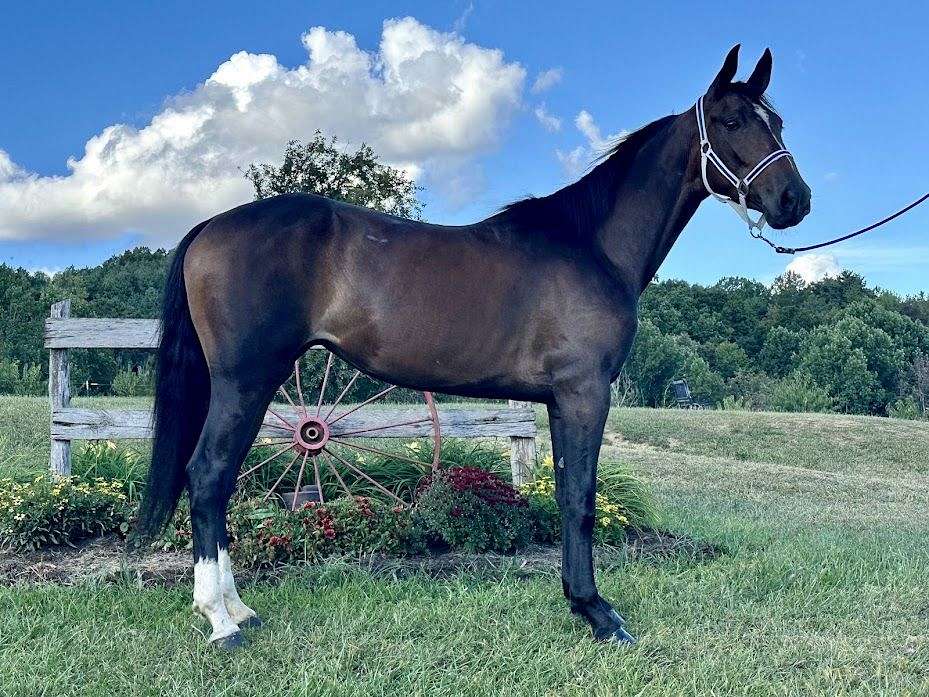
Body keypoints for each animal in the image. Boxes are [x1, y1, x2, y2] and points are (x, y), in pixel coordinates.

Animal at [137, 45, 811, 649]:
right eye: (731, 121)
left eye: (776, 122)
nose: (794, 201)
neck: (591, 245)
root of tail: (211, 225)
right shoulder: (584, 393)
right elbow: (581, 500)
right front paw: (599, 614)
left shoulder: (559, 401)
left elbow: (563, 494)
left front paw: (578, 603)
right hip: (246, 380)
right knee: (208, 476)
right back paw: (222, 621)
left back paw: (238, 610)